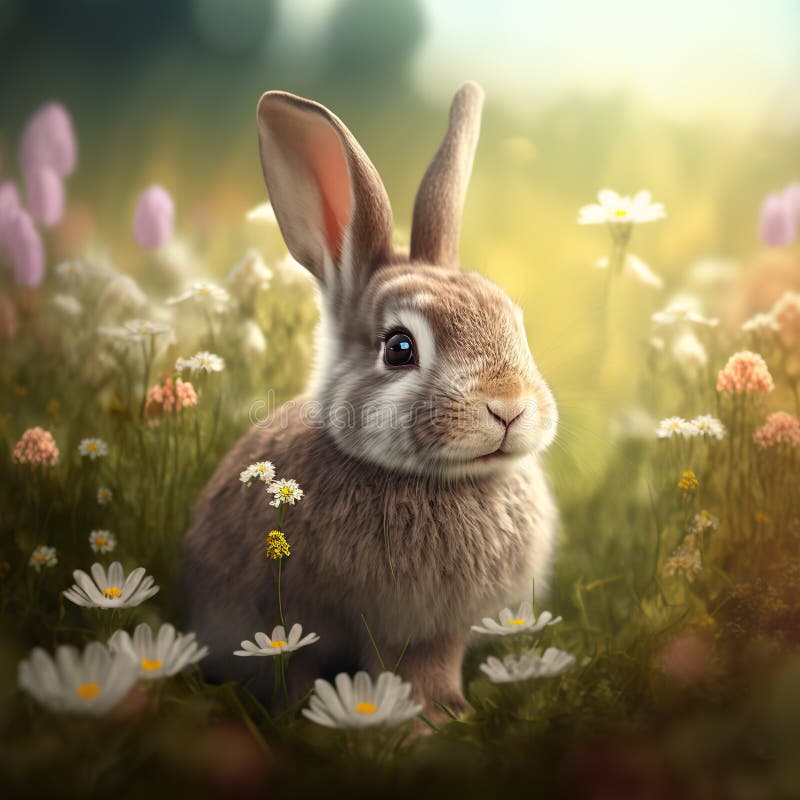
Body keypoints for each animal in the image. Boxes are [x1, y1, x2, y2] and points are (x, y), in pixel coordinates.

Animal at [181, 81, 559, 719]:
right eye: (400, 348)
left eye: (517, 324)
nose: (507, 407)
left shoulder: (439, 633)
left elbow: (432, 668)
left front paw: (444, 715)